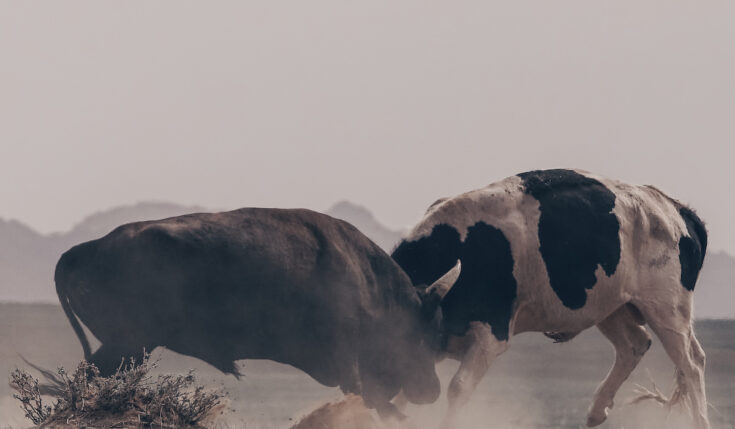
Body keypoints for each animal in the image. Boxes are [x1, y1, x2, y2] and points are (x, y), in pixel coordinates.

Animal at [55, 208, 461, 419]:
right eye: (422, 331)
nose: (431, 391)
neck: (365, 279)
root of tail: (84, 249)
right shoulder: (346, 360)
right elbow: (369, 392)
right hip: (125, 345)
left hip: (125, 347)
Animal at [391, 169, 710, 429]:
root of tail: (674, 208)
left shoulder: (490, 336)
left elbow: (457, 388)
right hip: (611, 308)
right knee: (635, 344)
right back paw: (596, 411)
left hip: (667, 309)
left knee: (691, 364)